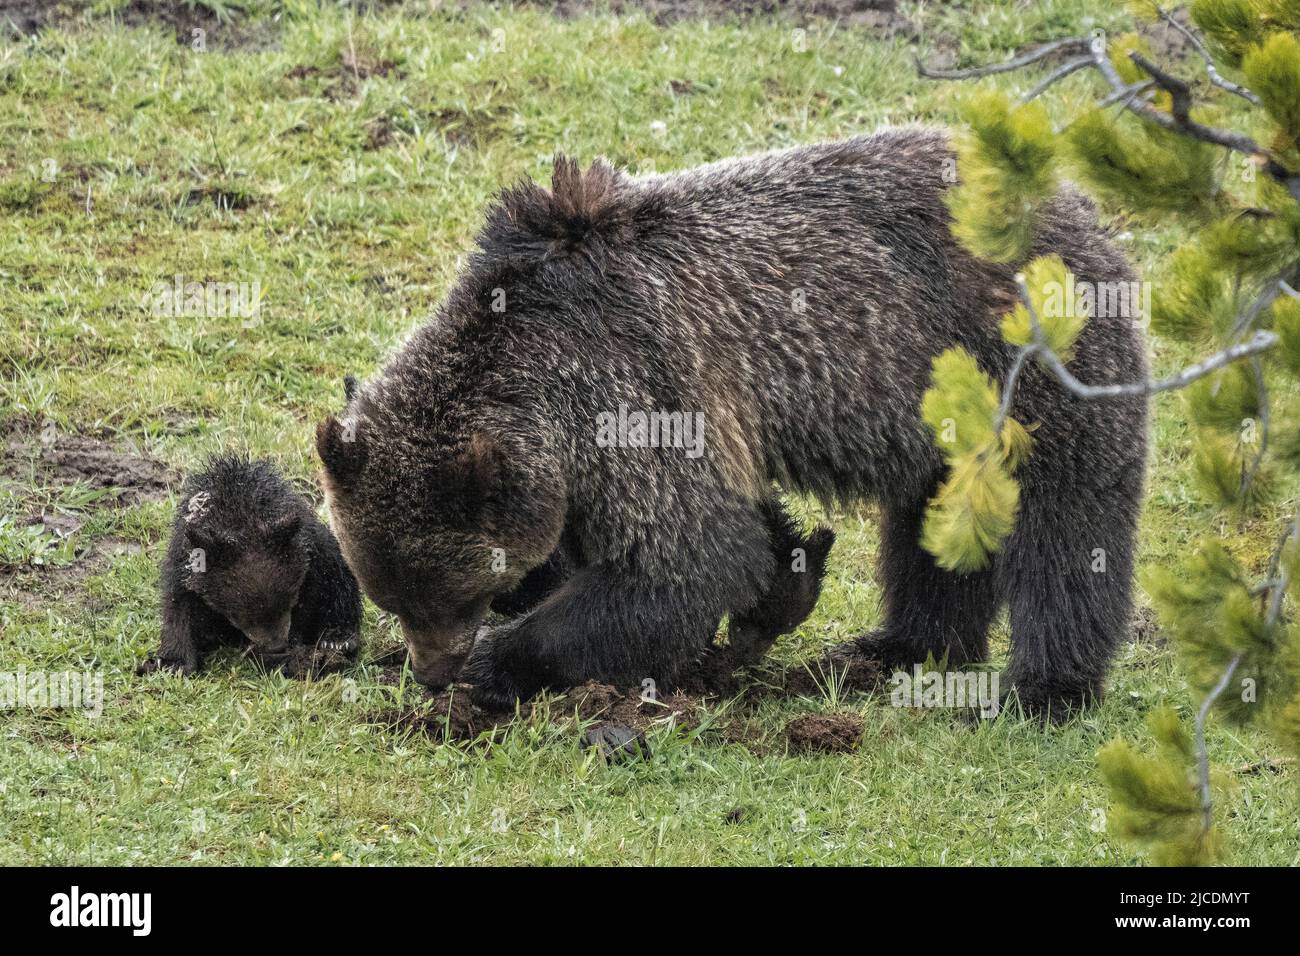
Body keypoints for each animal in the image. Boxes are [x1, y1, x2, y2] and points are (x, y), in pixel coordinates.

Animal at [141, 455, 362, 678]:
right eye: (237, 614)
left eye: (290, 601)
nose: (276, 646)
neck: (240, 517)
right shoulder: (186, 560)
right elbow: (178, 606)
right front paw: (173, 663)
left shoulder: (309, 551)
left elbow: (322, 586)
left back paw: (337, 640)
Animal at [315, 127, 1148, 718]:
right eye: (390, 595)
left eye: (449, 594)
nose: (432, 670)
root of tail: (1079, 205)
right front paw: (779, 582)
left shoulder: (632, 396)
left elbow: (686, 559)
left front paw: (505, 660)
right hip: (946, 409)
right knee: (933, 529)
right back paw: (899, 644)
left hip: (1032, 367)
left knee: (1068, 526)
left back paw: (1044, 687)